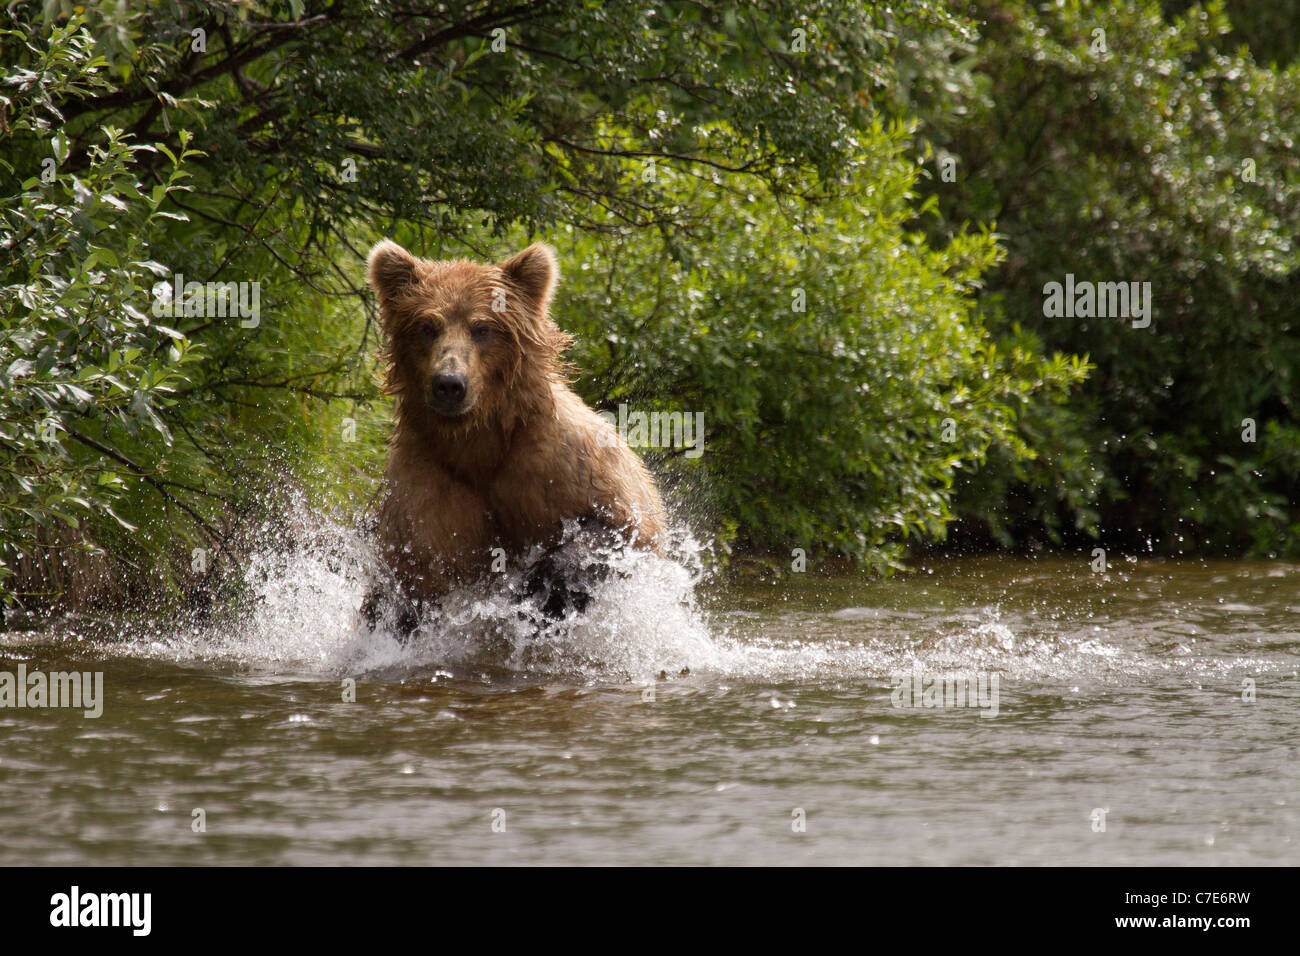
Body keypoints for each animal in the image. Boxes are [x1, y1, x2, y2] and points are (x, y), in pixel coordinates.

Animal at [362, 239, 664, 630]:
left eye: (482, 328)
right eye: (427, 326)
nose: (449, 384)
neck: (479, 443)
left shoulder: (558, 461)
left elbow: (614, 529)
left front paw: (535, 594)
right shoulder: (428, 486)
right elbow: (411, 580)